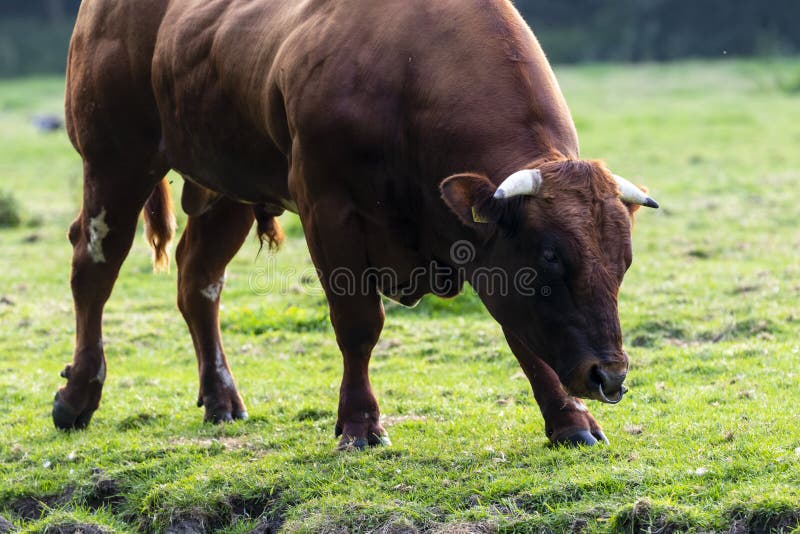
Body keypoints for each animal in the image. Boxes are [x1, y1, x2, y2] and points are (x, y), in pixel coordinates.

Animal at [55, 0, 658, 448]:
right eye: (551, 256)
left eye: (624, 262)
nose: (610, 376)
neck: (409, 73)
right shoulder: (328, 208)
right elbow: (358, 322)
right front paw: (360, 424)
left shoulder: (476, 243)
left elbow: (523, 333)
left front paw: (570, 420)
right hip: (115, 157)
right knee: (93, 268)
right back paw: (79, 394)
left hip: (228, 183)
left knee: (197, 279)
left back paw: (221, 398)